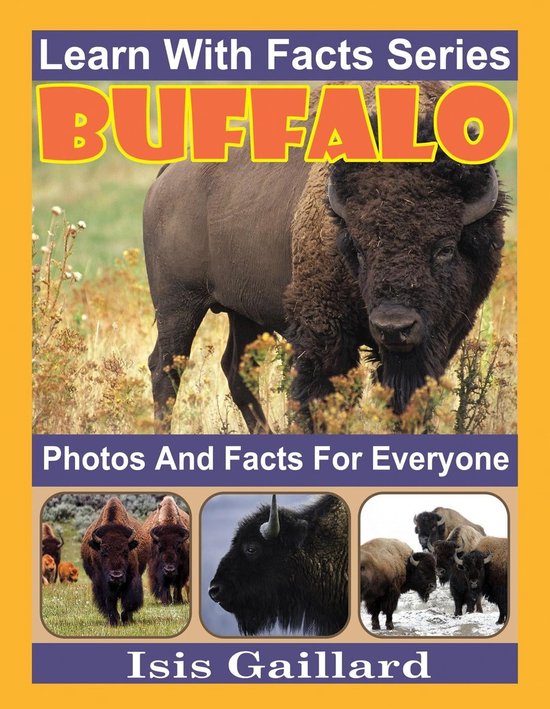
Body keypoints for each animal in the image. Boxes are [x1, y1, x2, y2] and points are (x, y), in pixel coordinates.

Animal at [81, 497, 149, 626]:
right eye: (103, 552)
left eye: (126, 552)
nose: (116, 576)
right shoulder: (101, 582)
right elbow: (109, 601)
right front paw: (114, 620)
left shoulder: (132, 577)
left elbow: (129, 600)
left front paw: (126, 619)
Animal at [144, 80, 507, 432]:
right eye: (358, 249)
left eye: (445, 248)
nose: (393, 327)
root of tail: (167, 176)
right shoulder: (324, 334)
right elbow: (320, 398)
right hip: (179, 304)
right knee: (166, 370)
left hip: (243, 312)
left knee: (235, 371)